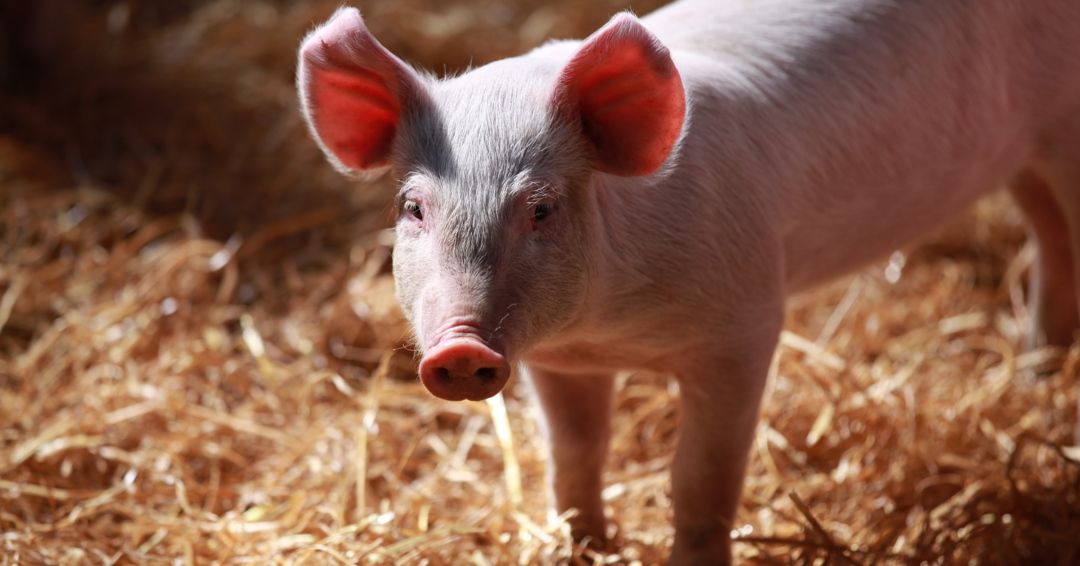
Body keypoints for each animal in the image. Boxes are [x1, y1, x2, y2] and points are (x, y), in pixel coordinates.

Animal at [297, 0, 1080, 563]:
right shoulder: (558, 360)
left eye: (542, 208)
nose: (460, 349)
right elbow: (574, 459)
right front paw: (586, 548)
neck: (607, 331)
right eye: (414, 208)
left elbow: (700, 480)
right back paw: (1037, 373)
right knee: (1053, 238)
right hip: (1027, 161)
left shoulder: (746, 325)